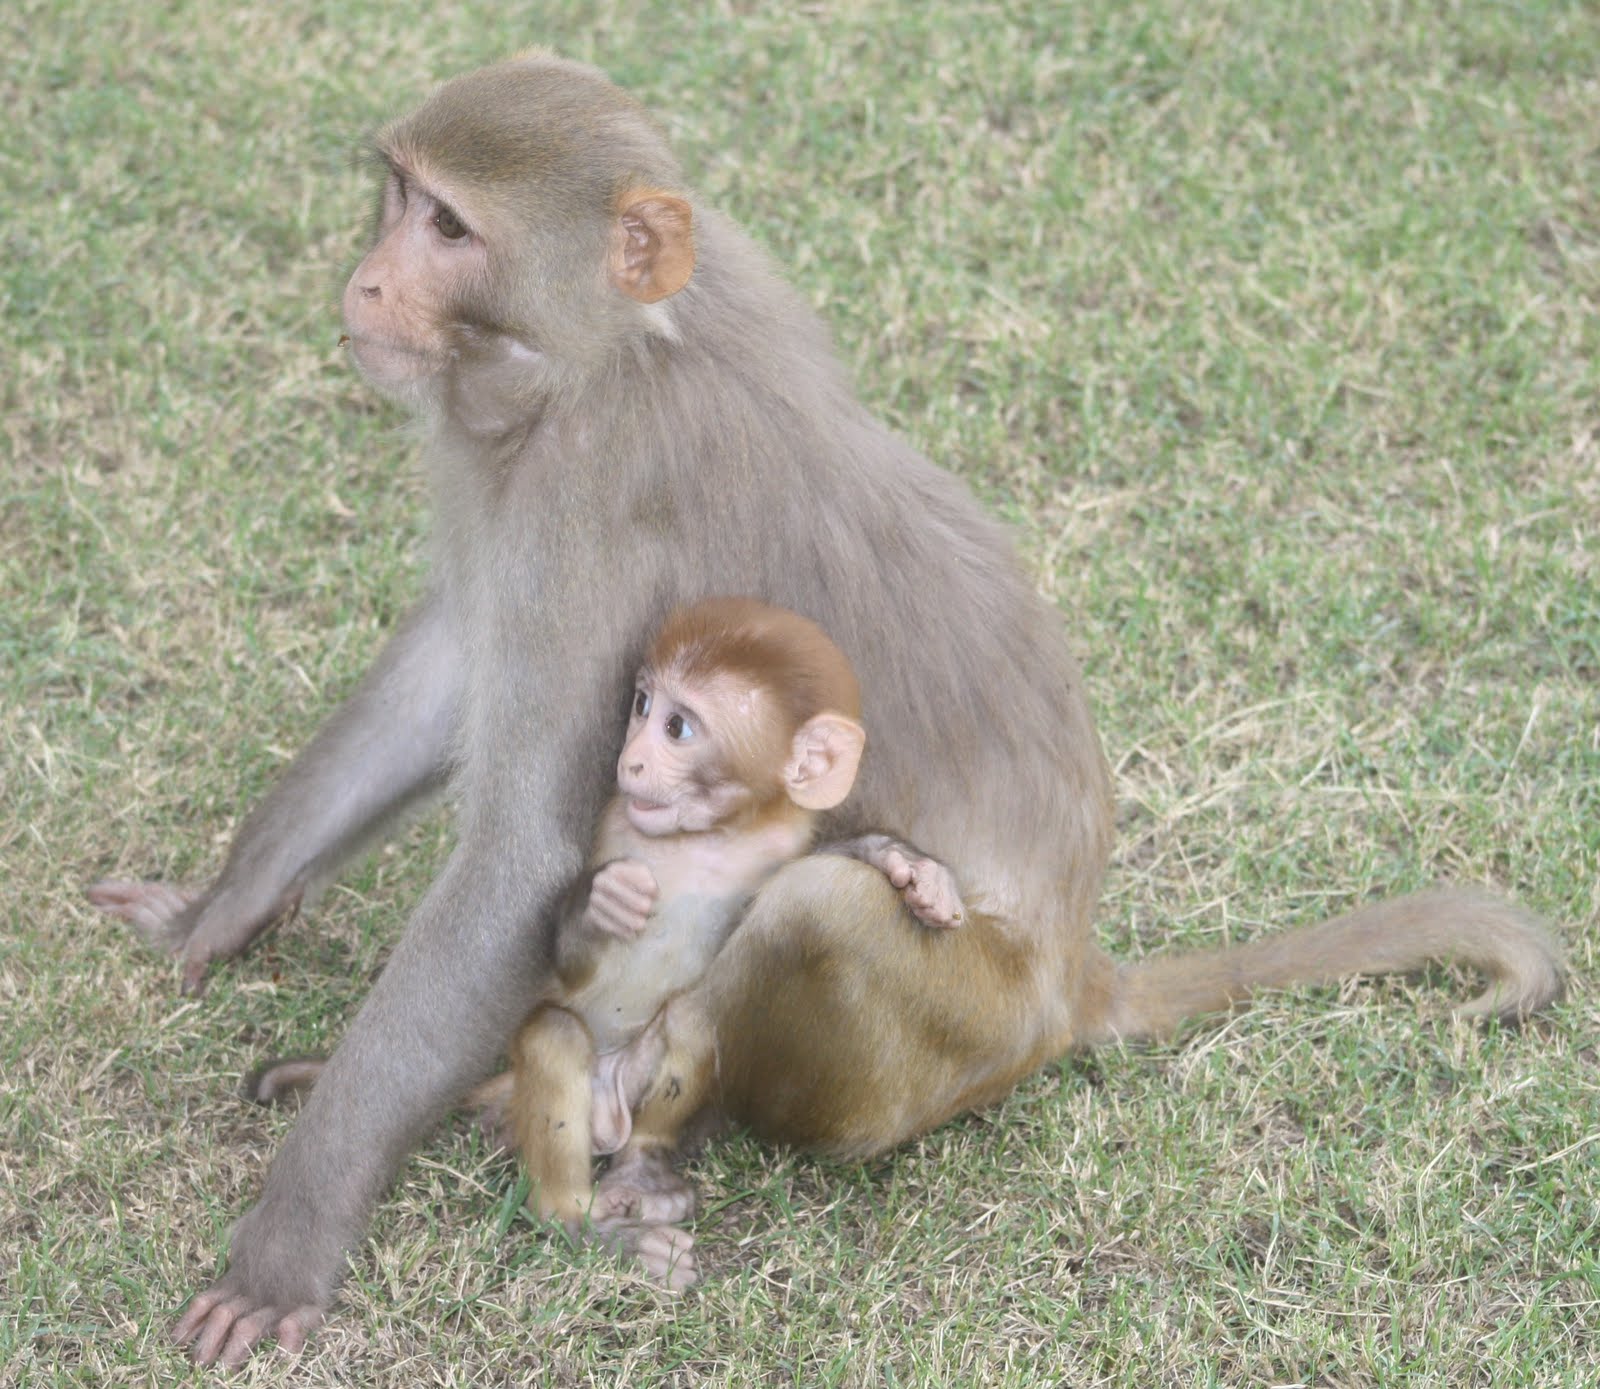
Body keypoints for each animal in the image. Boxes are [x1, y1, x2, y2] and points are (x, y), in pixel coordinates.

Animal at [85, 55, 1561, 1365]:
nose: (369, 280)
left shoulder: (590, 494)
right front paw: (217, 909)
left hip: (958, 1034)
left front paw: (286, 1250)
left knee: (819, 911)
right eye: (399, 200)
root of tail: (1076, 972)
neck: (600, 352)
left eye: (449, 226)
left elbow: (517, 857)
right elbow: (451, 668)